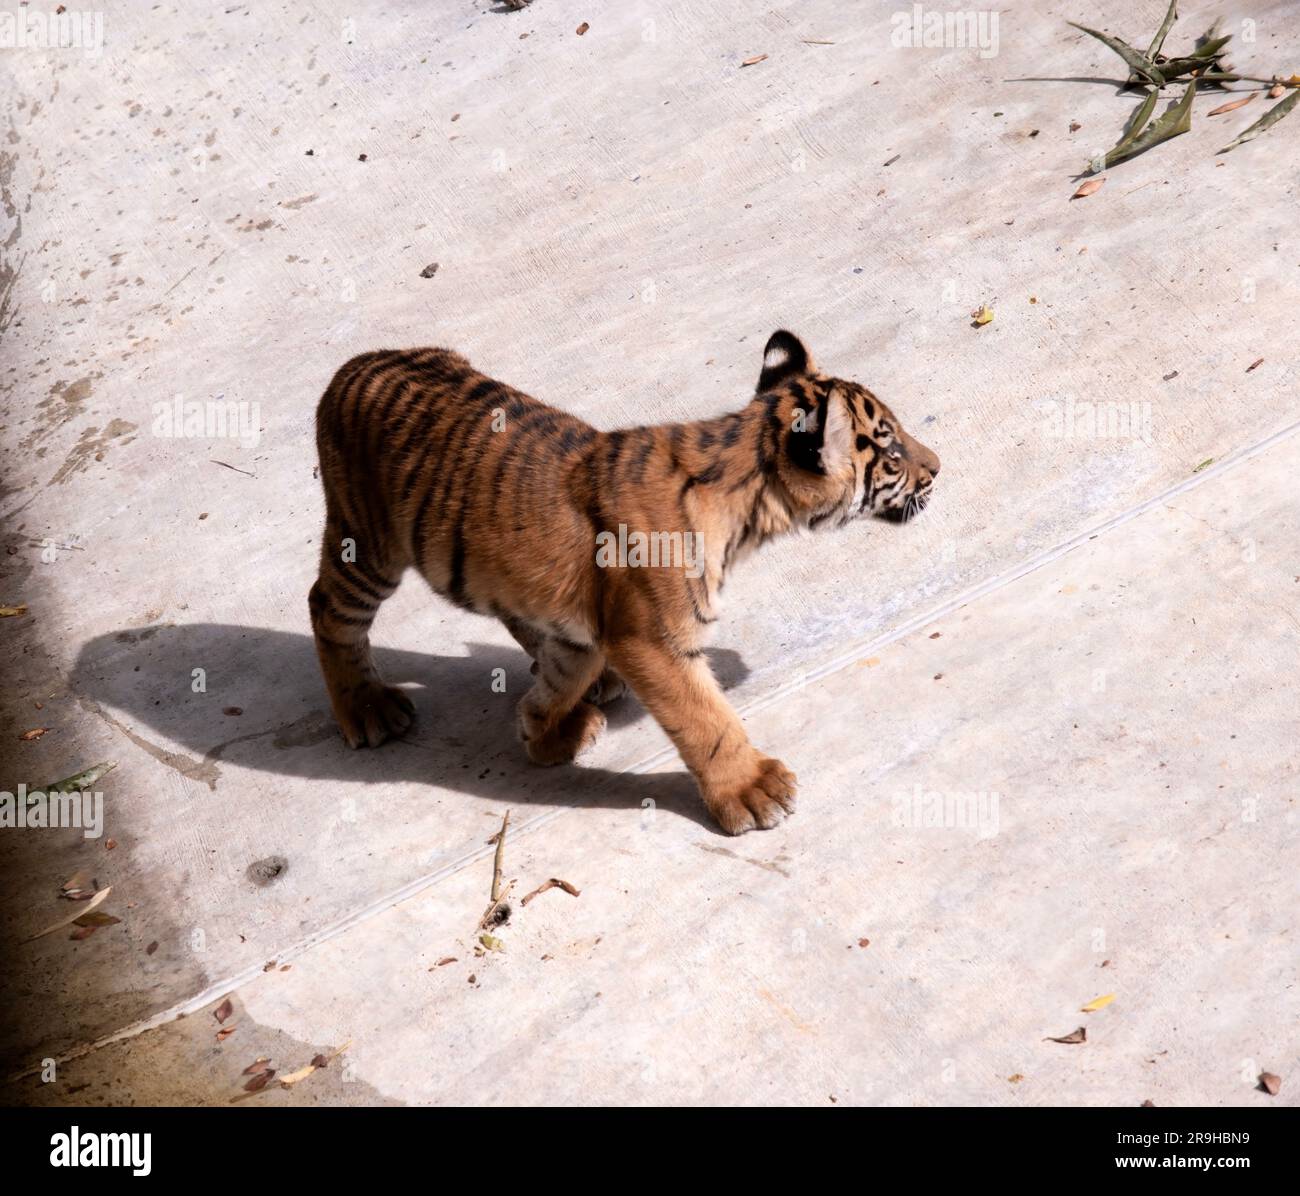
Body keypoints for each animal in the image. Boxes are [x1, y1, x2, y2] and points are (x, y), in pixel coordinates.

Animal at [309, 330, 940, 834]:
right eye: (890, 449)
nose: (937, 466)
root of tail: (356, 363)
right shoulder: (653, 640)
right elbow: (706, 719)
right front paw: (751, 790)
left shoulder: (595, 627)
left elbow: (561, 678)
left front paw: (543, 734)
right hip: (367, 543)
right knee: (326, 608)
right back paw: (367, 709)